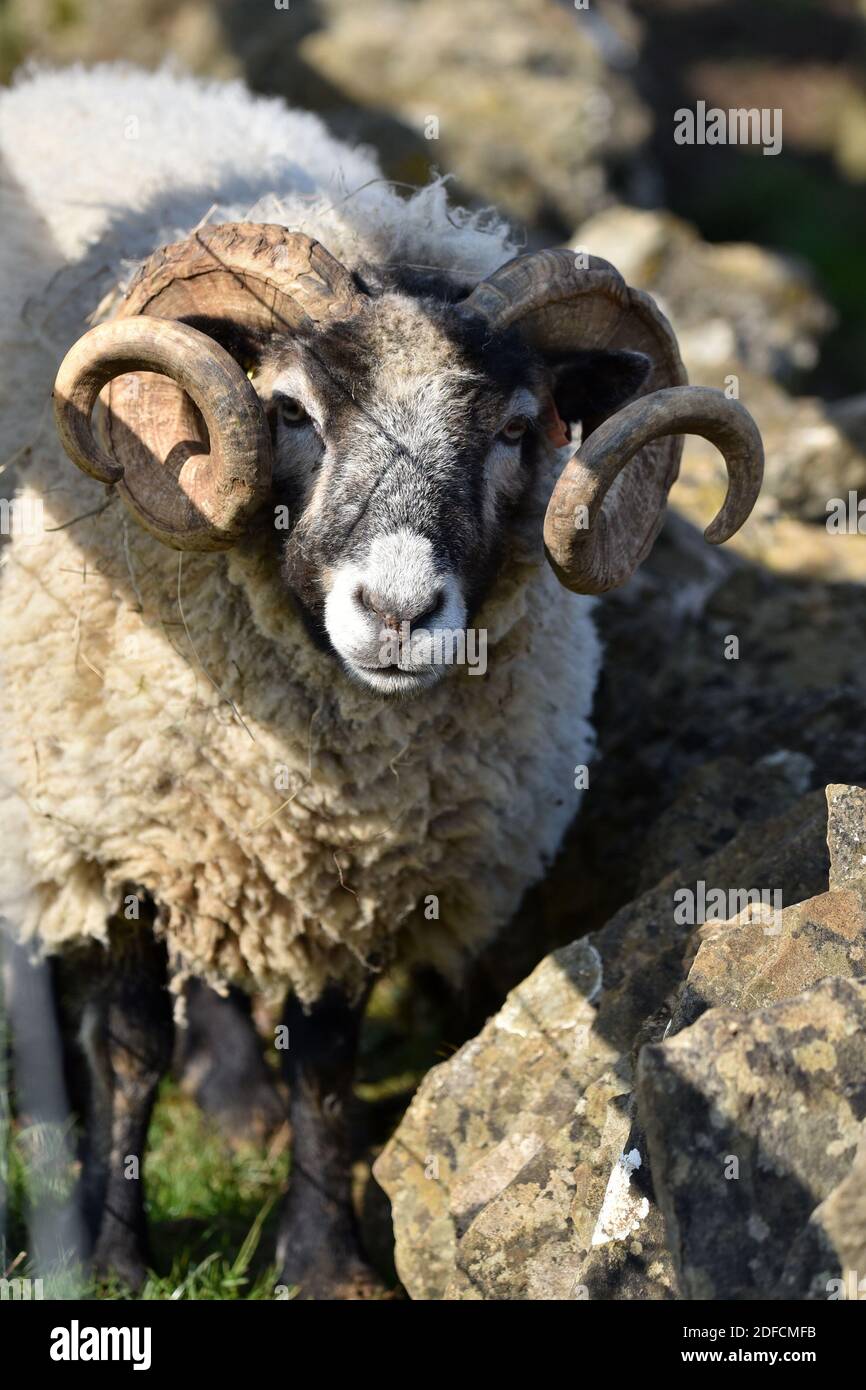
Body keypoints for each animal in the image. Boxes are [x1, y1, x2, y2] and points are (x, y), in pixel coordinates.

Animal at [0, 63, 763, 1297]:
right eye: (290, 412)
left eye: (516, 431)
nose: (399, 614)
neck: (325, 758)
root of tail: (87, 77)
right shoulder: (108, 829)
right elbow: (126, 1045)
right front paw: (113, 1256)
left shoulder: (353, 862)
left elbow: (322, 1060)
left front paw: (324, 1258)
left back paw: (235, 1097)